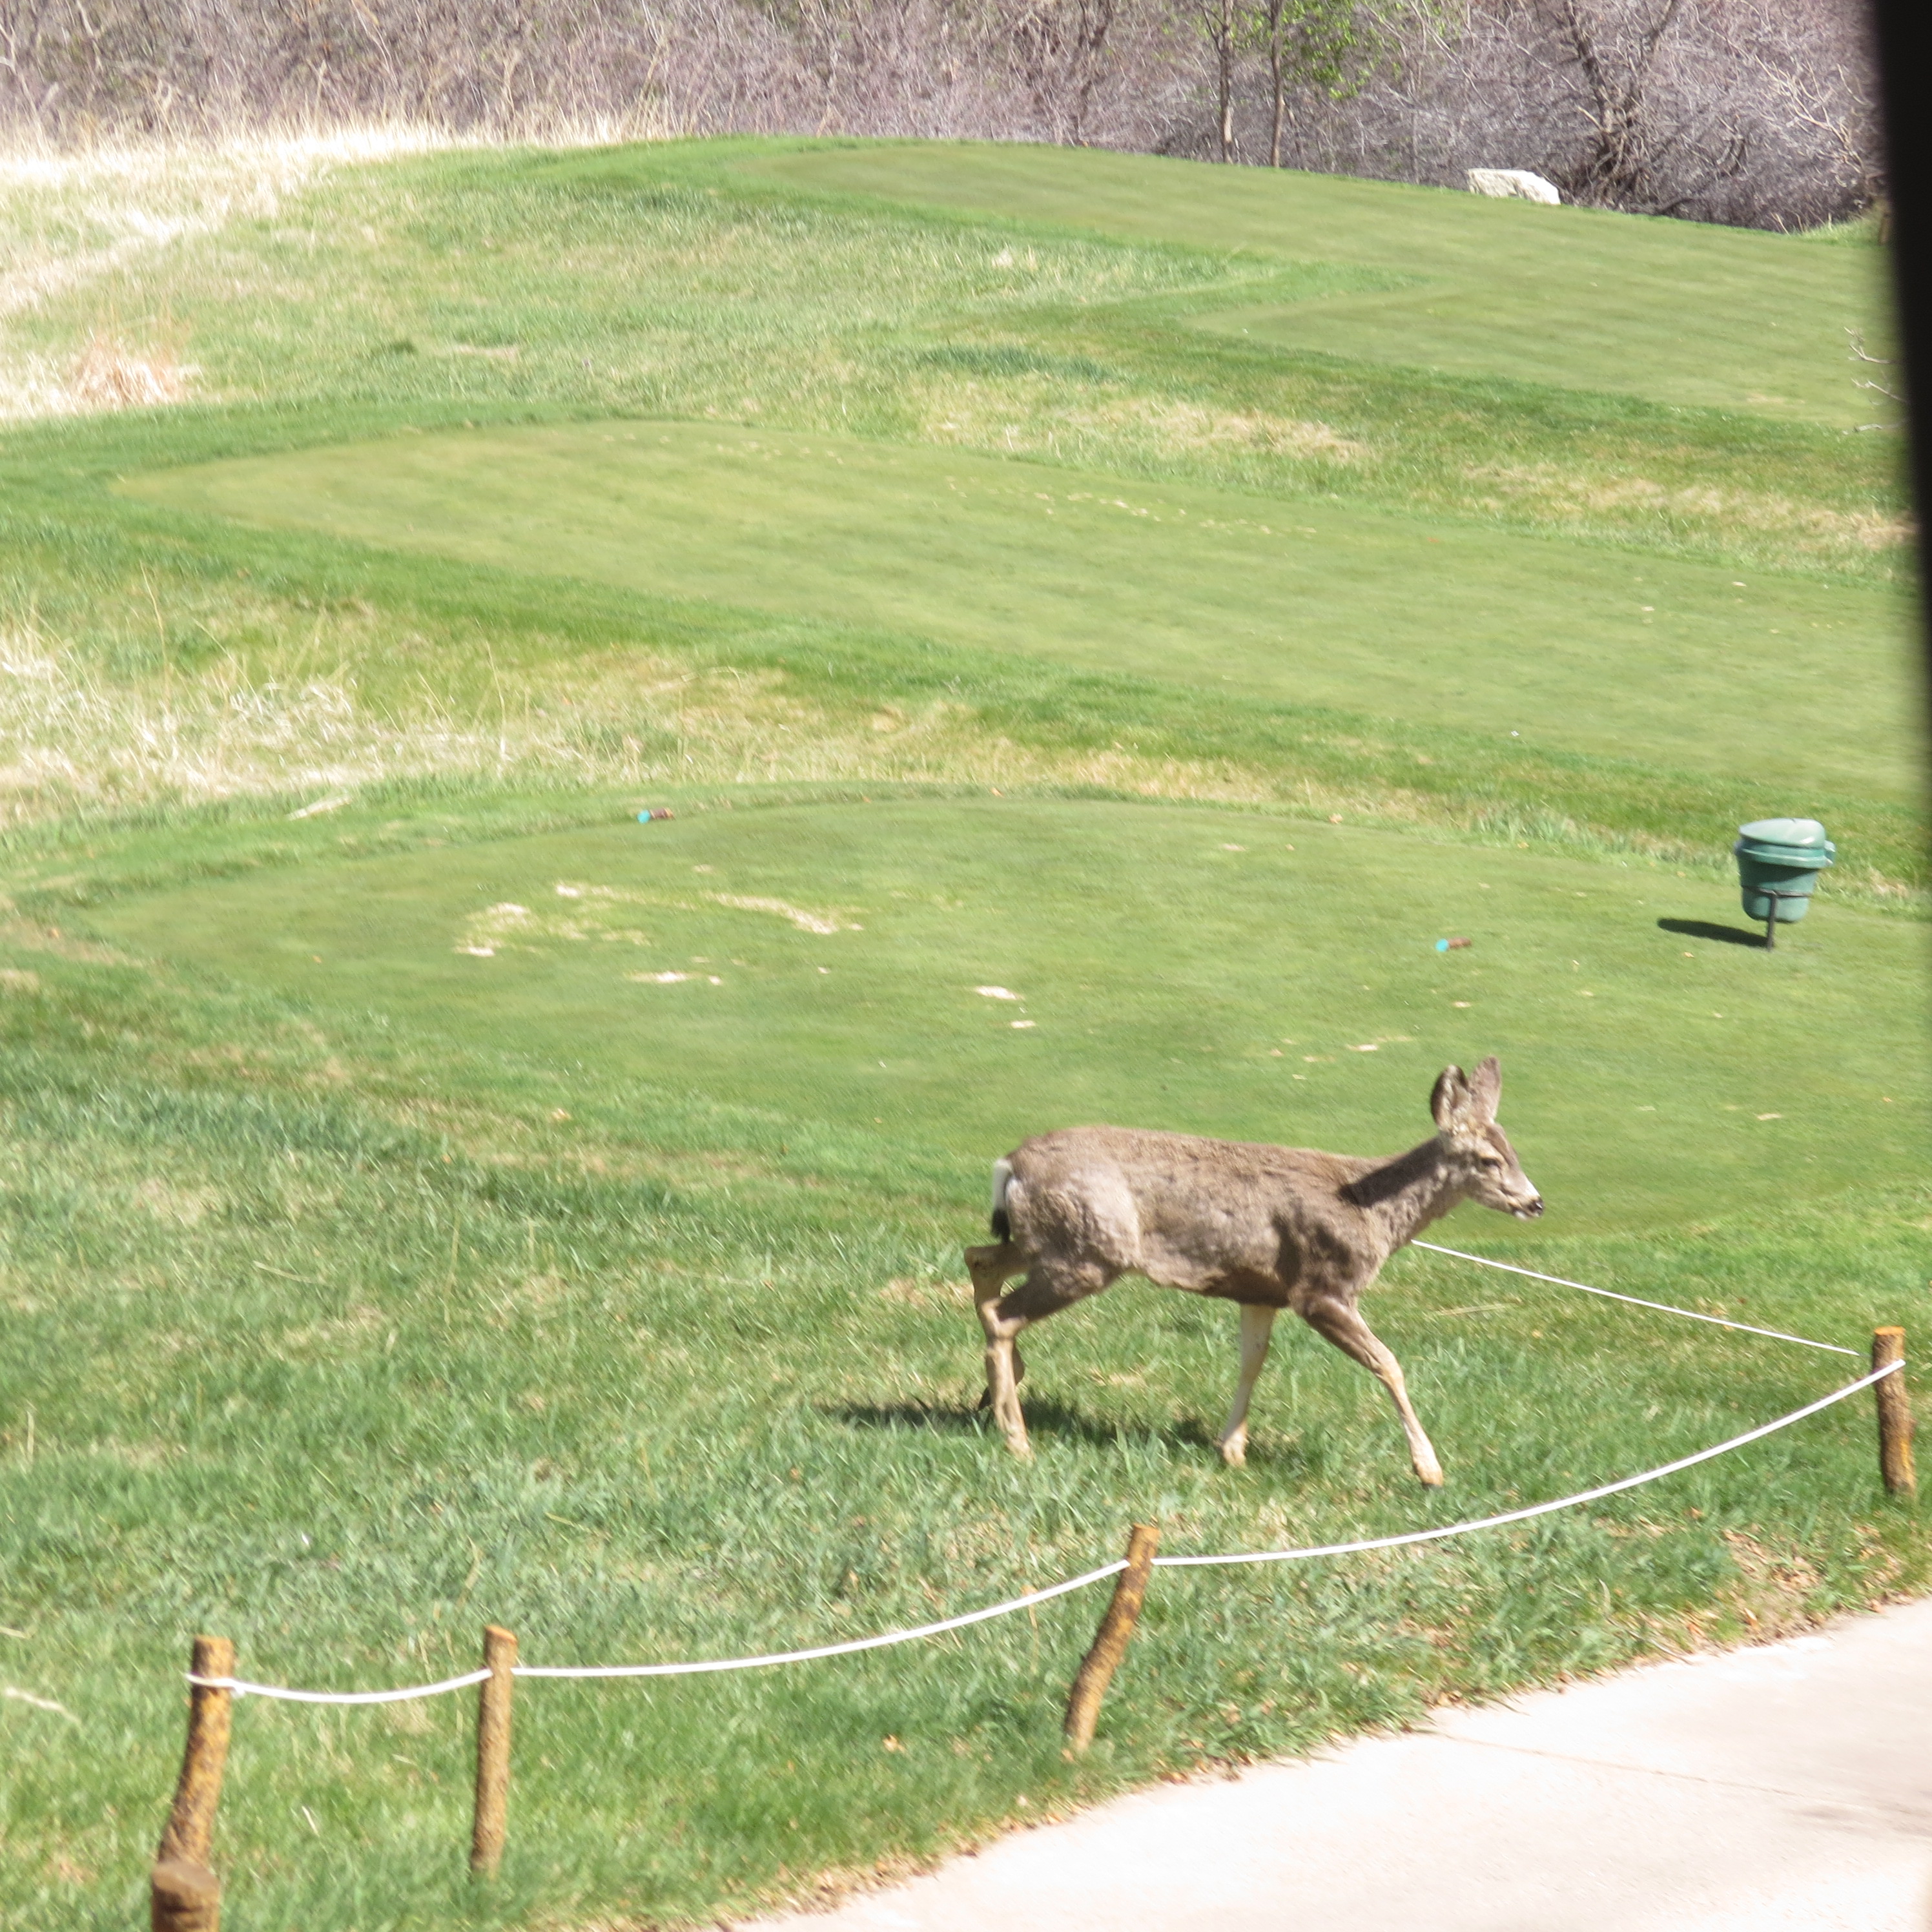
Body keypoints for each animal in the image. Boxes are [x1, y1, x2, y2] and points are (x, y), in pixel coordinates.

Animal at [964, 1058, 1542, 1485]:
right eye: (1489, 1160)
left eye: (1514, 1151)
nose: (1535, 1202)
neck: (1371, 1209)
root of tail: (1009, 1164)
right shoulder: (1321, 1289)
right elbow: (1389, 1363)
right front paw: (1429, 1470)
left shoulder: (1262, 1291)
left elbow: (1253, 1362)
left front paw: (1232, 1449)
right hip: (1090, 1251)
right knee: (1004, 1313)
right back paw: (1016, 1437)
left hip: (1048, 1243)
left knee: (979, 1261)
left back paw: (999, 1394)